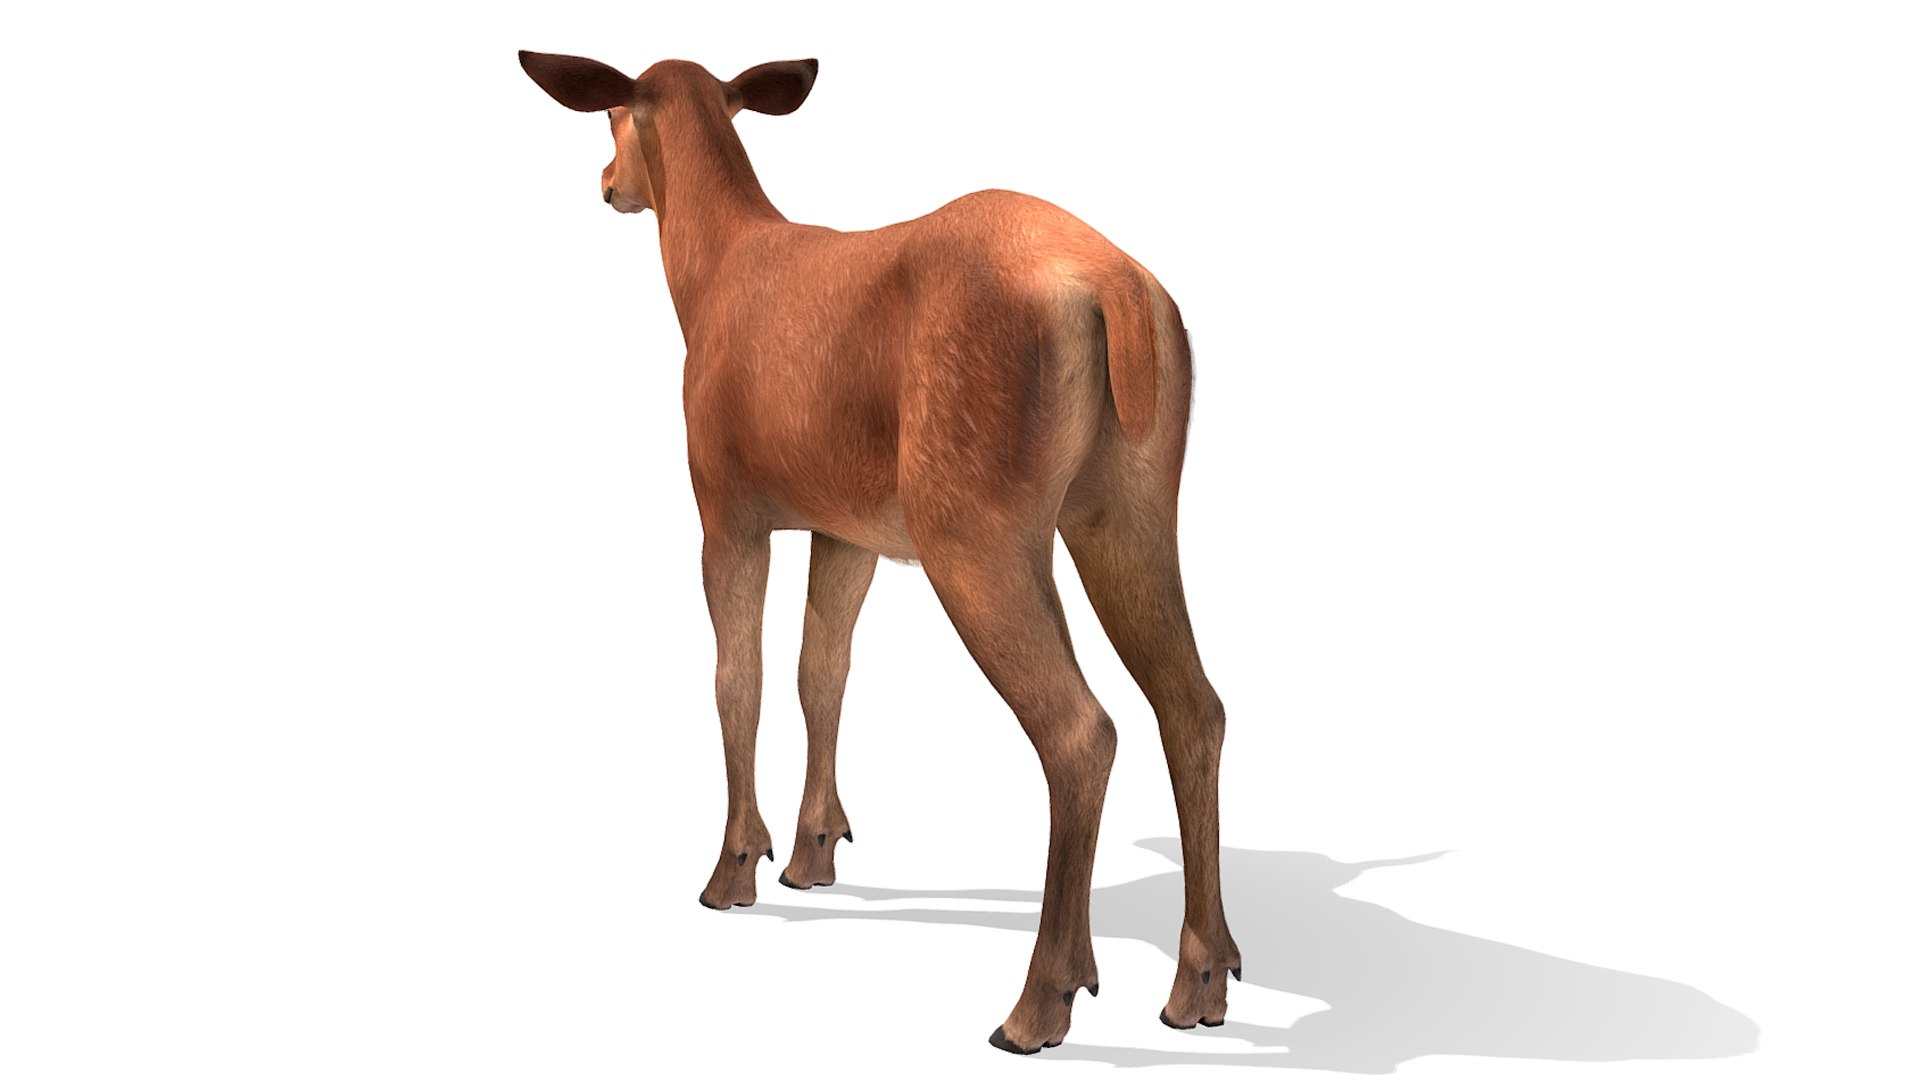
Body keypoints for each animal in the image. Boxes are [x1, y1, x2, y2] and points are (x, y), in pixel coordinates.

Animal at [519, 50, 1240, 1054]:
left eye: (616, 112)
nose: (607, 185)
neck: (707, 279)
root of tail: (1121, 295)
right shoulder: (844, 527)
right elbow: (822, 670)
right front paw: (813, 850)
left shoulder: (724, 507)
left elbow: (736, 675)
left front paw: (734, 868)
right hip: (1128, 507)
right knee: (1193, 705)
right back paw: (1200, 981)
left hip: (972, 525)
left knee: (1082, 728)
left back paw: (1040, 1002)